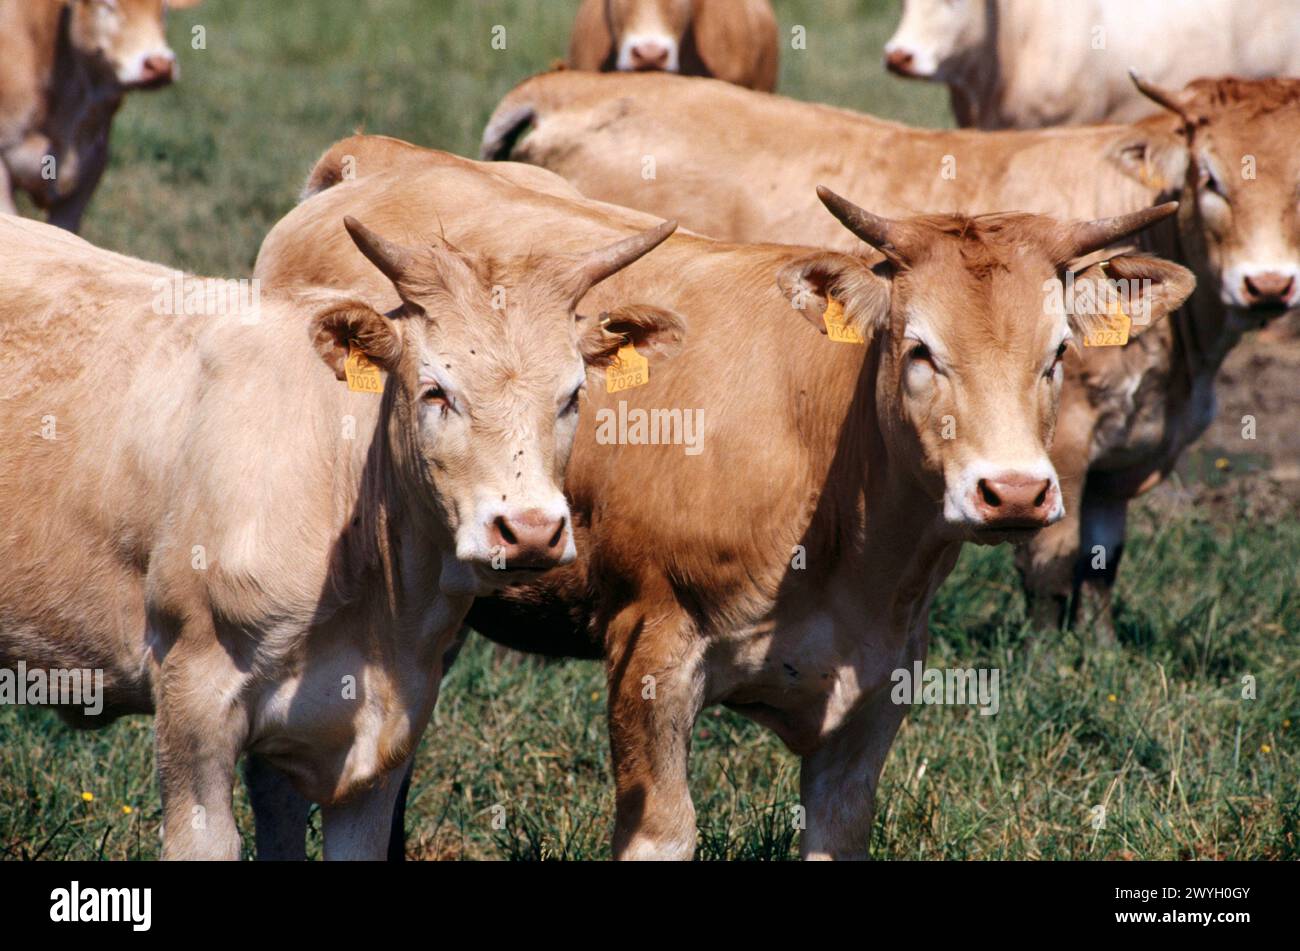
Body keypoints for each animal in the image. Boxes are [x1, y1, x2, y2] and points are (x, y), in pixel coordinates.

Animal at [254, 136, 1193, 858]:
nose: (1014, 491)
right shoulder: (652, 652)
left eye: (1058, 350)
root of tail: (372, 161)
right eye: (919, 348)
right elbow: (664, 830)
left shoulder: (875, 694)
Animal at [481, 69, 1299, 640]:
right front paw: (1048, 660)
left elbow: (1101, 566)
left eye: (1058, 349)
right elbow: (1052, 563)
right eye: (1211, 179)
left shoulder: (1117, 464)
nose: (1268, 285)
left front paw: (1095, 653)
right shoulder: (1061, 450)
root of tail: (568, 83)